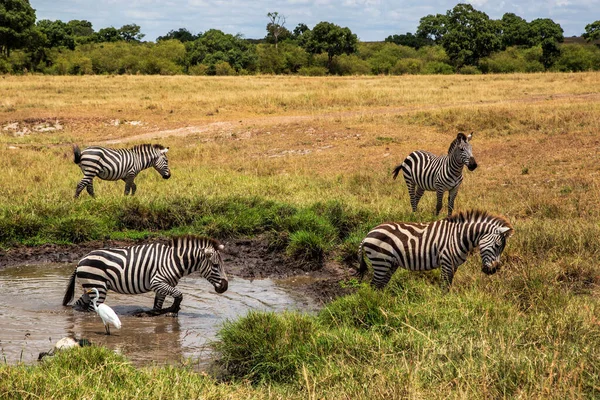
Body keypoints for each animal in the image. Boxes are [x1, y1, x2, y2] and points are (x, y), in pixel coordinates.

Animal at [62, 234, 227, 316]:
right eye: (215, 266)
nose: (225, 287)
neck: (173, 260)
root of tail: (80, 260)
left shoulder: (163, 285)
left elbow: (158, 304)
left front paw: (155, 313)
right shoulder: (157, 281)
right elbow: (179, 295)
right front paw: (173, 309)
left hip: (91, 287)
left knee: (79, 305)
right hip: (98, 287)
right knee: (91, 310)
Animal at [358, 209, 512, 290]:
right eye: (497, 246)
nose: (493, 270)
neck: (459, 236)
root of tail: (367, 235)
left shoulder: (454, 265)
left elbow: (449, 285)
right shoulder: (446, 261)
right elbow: (444, 286)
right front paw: (443, 305)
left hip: (390, 264)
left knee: (380, 286)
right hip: (380, 261)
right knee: (374, 285)